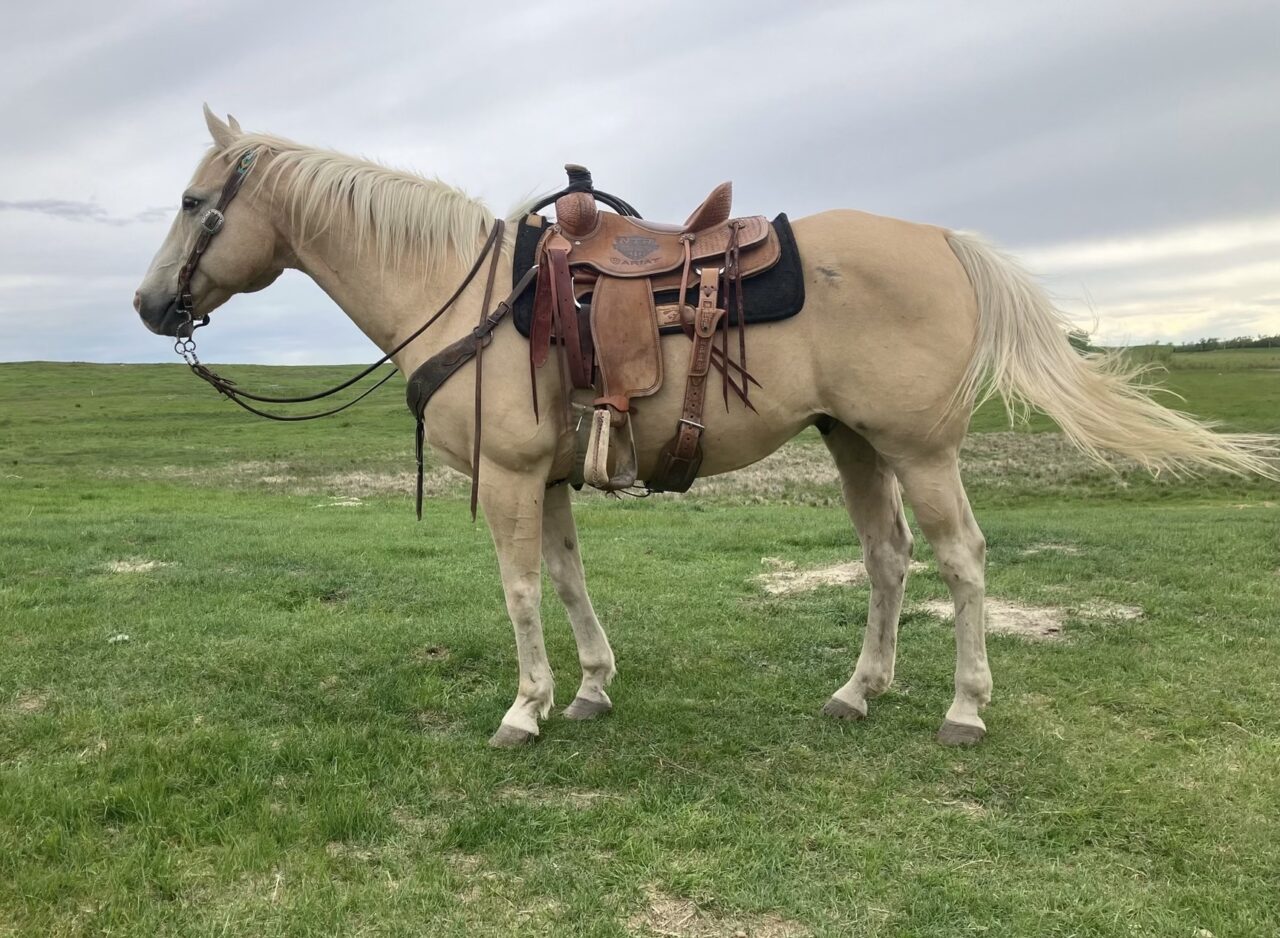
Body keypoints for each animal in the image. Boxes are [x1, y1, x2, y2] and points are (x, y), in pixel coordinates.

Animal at [134, 107, 1278, 748]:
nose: (149, 305)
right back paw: (857, 692)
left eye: (193, 203)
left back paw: (963, 708)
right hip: (853, 442)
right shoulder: (551, 477)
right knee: (887, 557)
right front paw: (590, 691)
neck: (468, 296)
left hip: (919, 448)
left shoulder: (509, 476)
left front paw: (524, 708)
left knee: (961, 559)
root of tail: (943, 241)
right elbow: (567, 581)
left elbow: (517, 589)